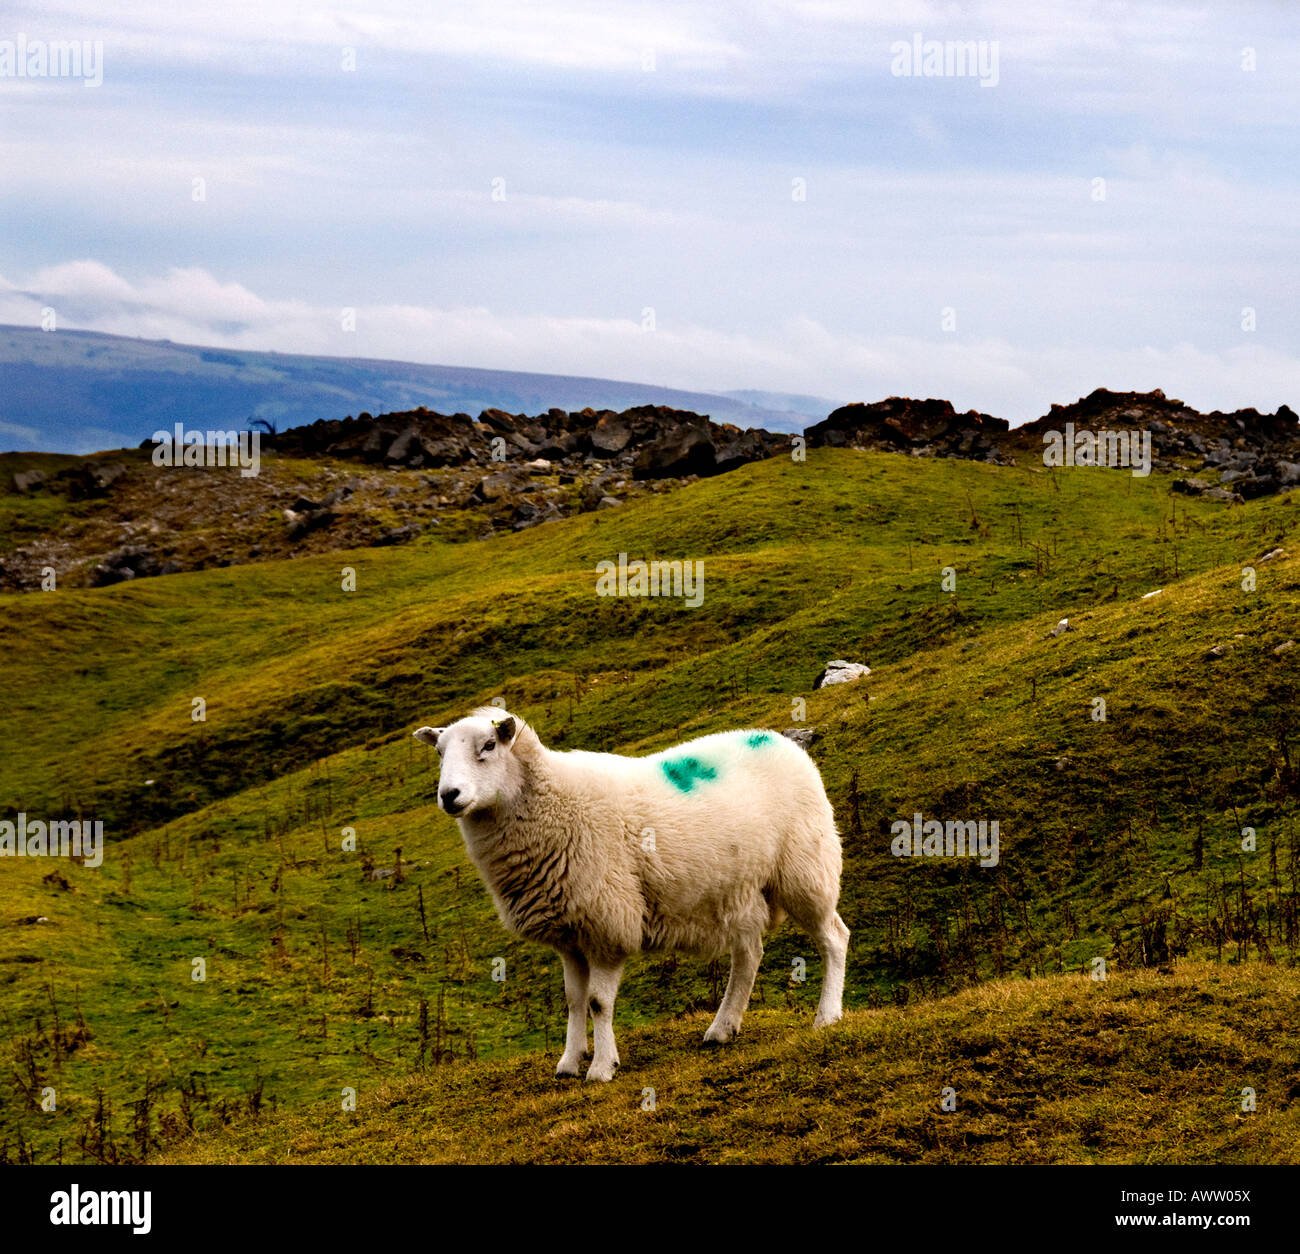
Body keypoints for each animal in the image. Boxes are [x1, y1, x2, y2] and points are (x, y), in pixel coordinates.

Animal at [413, 708, 849, 1082]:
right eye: (439, 752)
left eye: (488, 746)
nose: (449, 795)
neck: (552, 803)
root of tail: (774, 739)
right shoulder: (569, 935)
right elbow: (573, 1000)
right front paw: (569, 1062)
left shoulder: (607, 923)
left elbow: (598, 1002)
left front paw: (602, 1067)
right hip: (739, 891)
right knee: (748, 956)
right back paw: (722, 1028)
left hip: (806, 868)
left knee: (834, 938)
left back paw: (827, 1016)